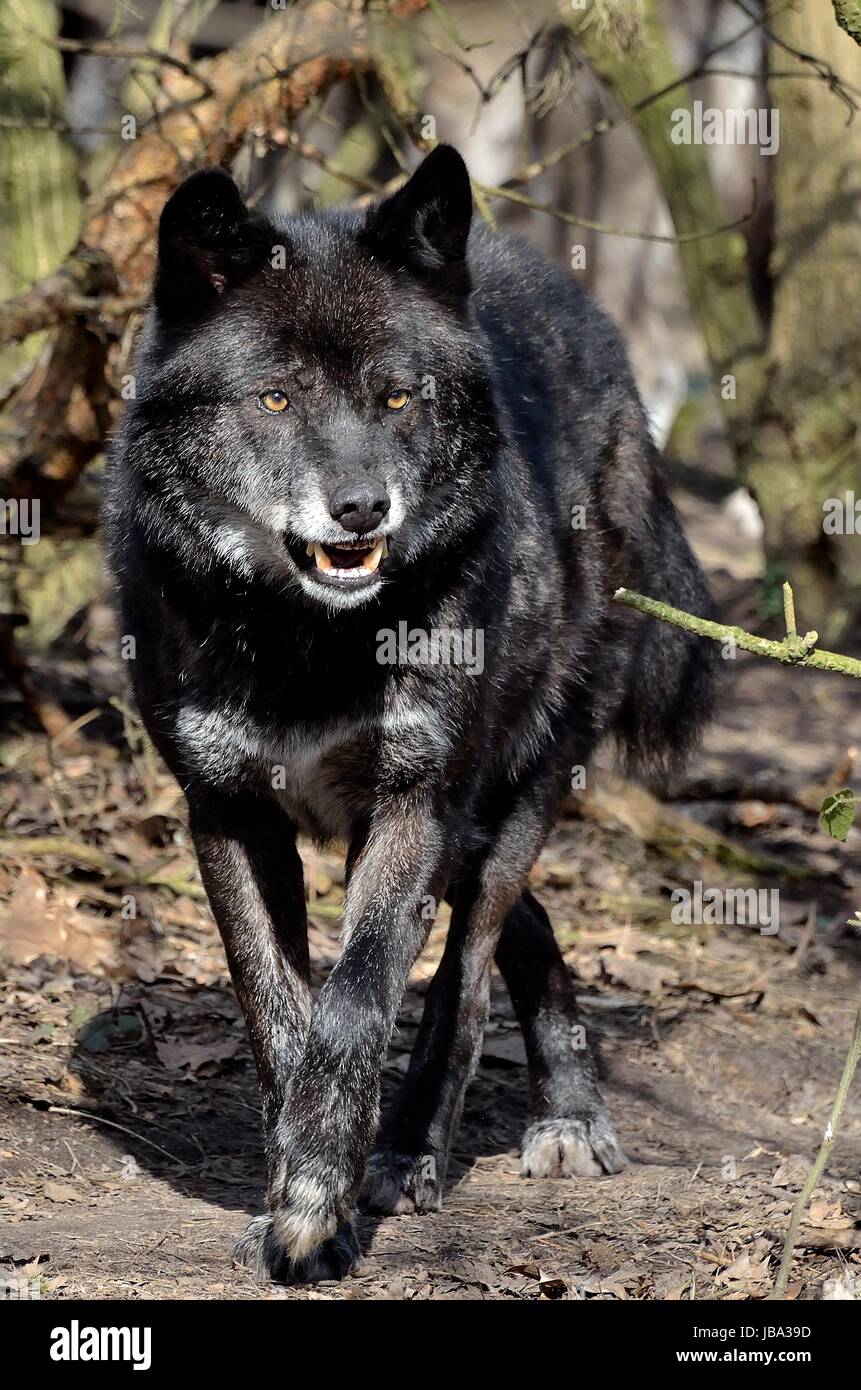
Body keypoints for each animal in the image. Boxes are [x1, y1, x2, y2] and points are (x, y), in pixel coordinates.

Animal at [104, 145, 714, 1282]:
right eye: (275, 397)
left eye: (395, 398)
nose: (360, 509)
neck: (306, 643)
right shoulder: (227, 814)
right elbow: (278, 1009)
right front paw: (296, 1191)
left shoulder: (409, 806)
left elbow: (356, 1000)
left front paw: (319, 1196)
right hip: (470, 807)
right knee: (517, 927)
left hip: (513, 787)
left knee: (465, 973)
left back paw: (454, 1138)